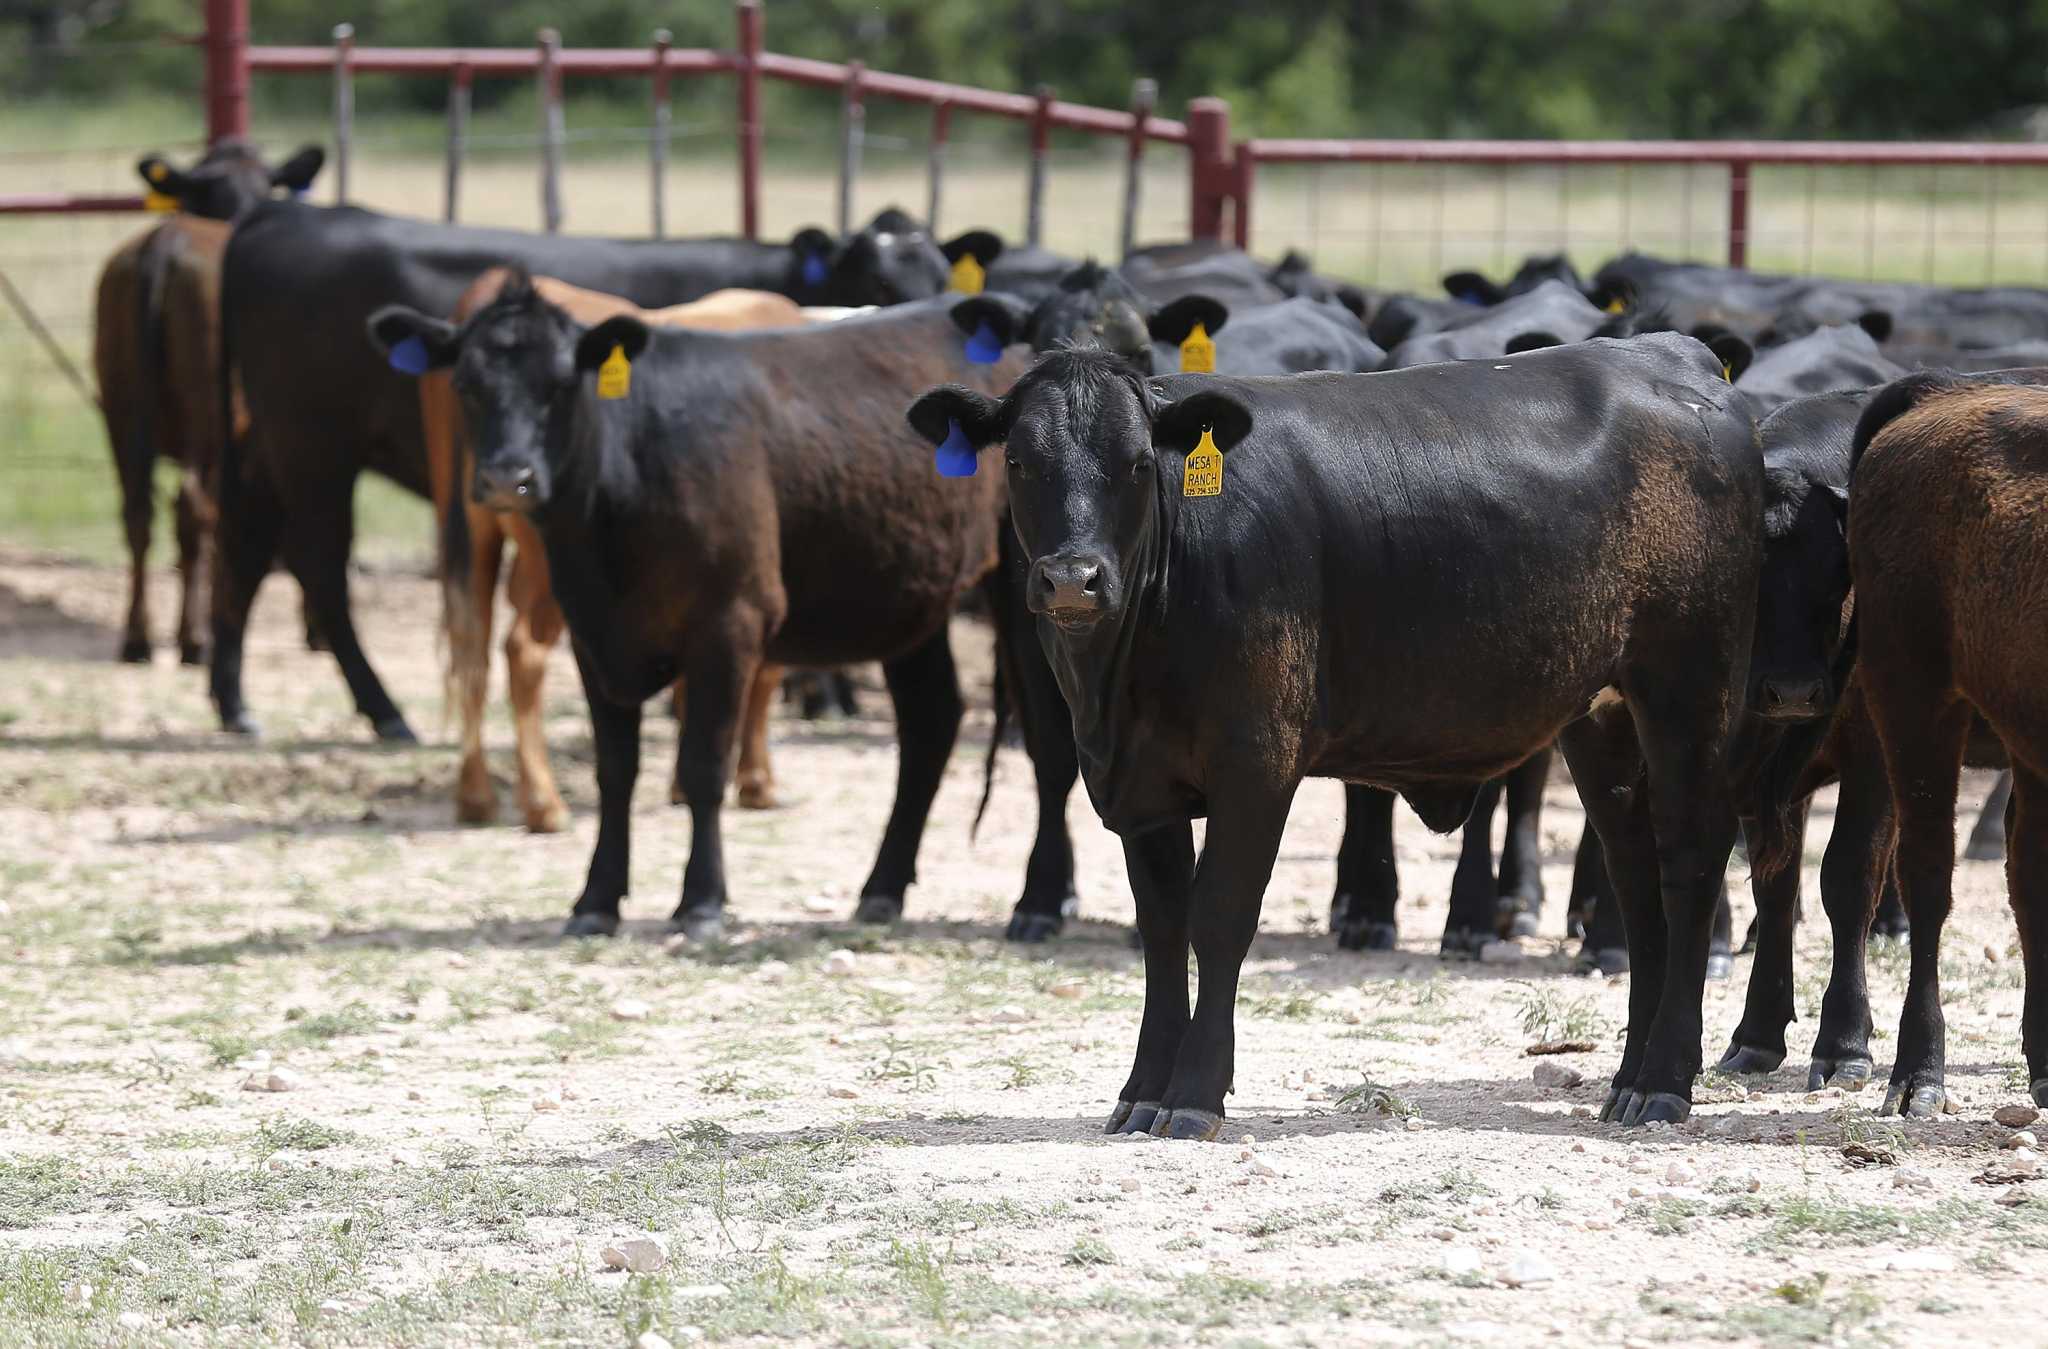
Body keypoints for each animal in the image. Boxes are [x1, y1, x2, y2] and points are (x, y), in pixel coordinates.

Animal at [95, 140, 323, 663]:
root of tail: (166, 243)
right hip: (206, 417)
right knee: (193, 507)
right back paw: (194, 637)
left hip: (120, 410)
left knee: (138, 512)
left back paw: (138, 636)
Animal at [211, 201, 989, 744]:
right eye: (877, 274)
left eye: (940, 275)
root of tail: (277, 216)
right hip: (314, 448)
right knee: (319, 564)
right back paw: (383, 710)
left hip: (274, 449)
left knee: (245, 541)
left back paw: (233, 700)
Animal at [423, 269, 810, 832]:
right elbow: (763, 672)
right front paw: (756, 780)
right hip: (550, 568)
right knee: (523, 651)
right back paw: (542, 801)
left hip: (471, 534)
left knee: (470, 645)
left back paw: (476, 797)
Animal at [910, 333, 1761, 1134]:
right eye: (1019, 460)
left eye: (1136, 464)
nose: (1073, 580)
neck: (1119, 683)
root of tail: (1671, 352)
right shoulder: (1143, 785)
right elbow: (1162, 928)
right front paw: (1141, 1091)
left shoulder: (1257, 761)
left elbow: (1219, 914)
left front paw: (1192, 1094)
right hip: (1602, 718)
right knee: (1636, 877)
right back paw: (1631, 1076)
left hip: (1690, 691)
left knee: (1689, 864)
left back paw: (1665, 1080)